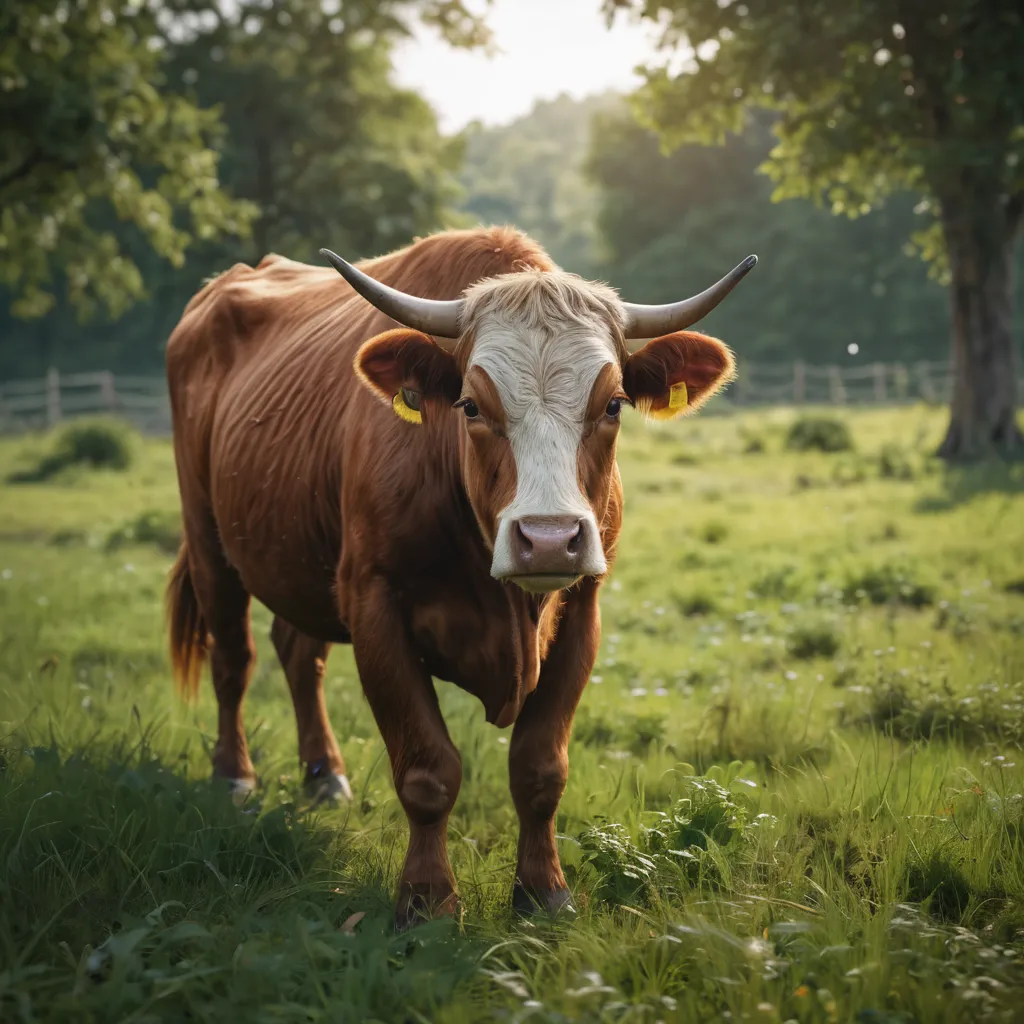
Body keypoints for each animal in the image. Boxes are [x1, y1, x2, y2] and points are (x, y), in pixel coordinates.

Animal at [165, 226, 754, 928]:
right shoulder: (374, 603)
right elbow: (427, 770)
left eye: (612, 403)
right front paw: (426, 901)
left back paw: (323, 776)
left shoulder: (583, 608)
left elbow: (540, 768)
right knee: (233, 657)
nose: (548, 538)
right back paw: (234, 777)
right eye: (470, 405)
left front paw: (544, 893)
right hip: (208, 537)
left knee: (299, 653)